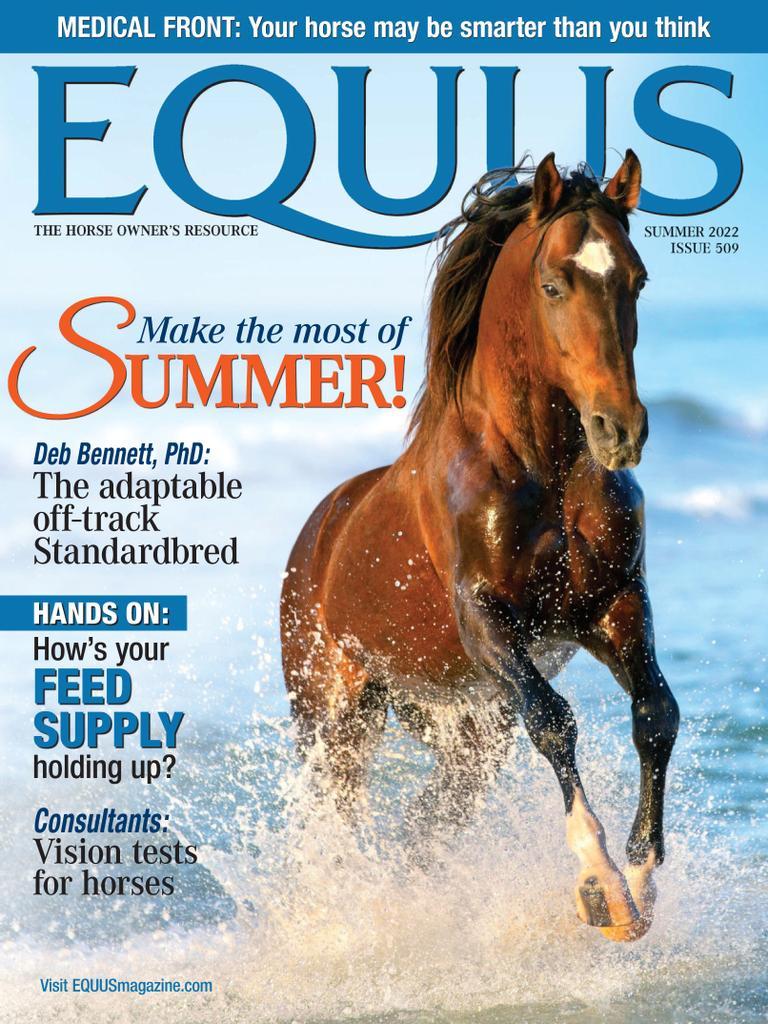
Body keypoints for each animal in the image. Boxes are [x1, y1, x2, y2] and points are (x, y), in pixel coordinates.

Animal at [280, 151, 679, 943]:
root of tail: (318, 533)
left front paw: (643, 883)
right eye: (554, 283)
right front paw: (601, 891)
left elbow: (655, 715)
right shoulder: (488, 620)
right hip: (337, 718)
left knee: (427, 823)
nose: (619, 429)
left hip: (470, 732)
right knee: (337, 819)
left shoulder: (614, 605)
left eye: (638, 278)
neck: (544, 470)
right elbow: (554, 721)